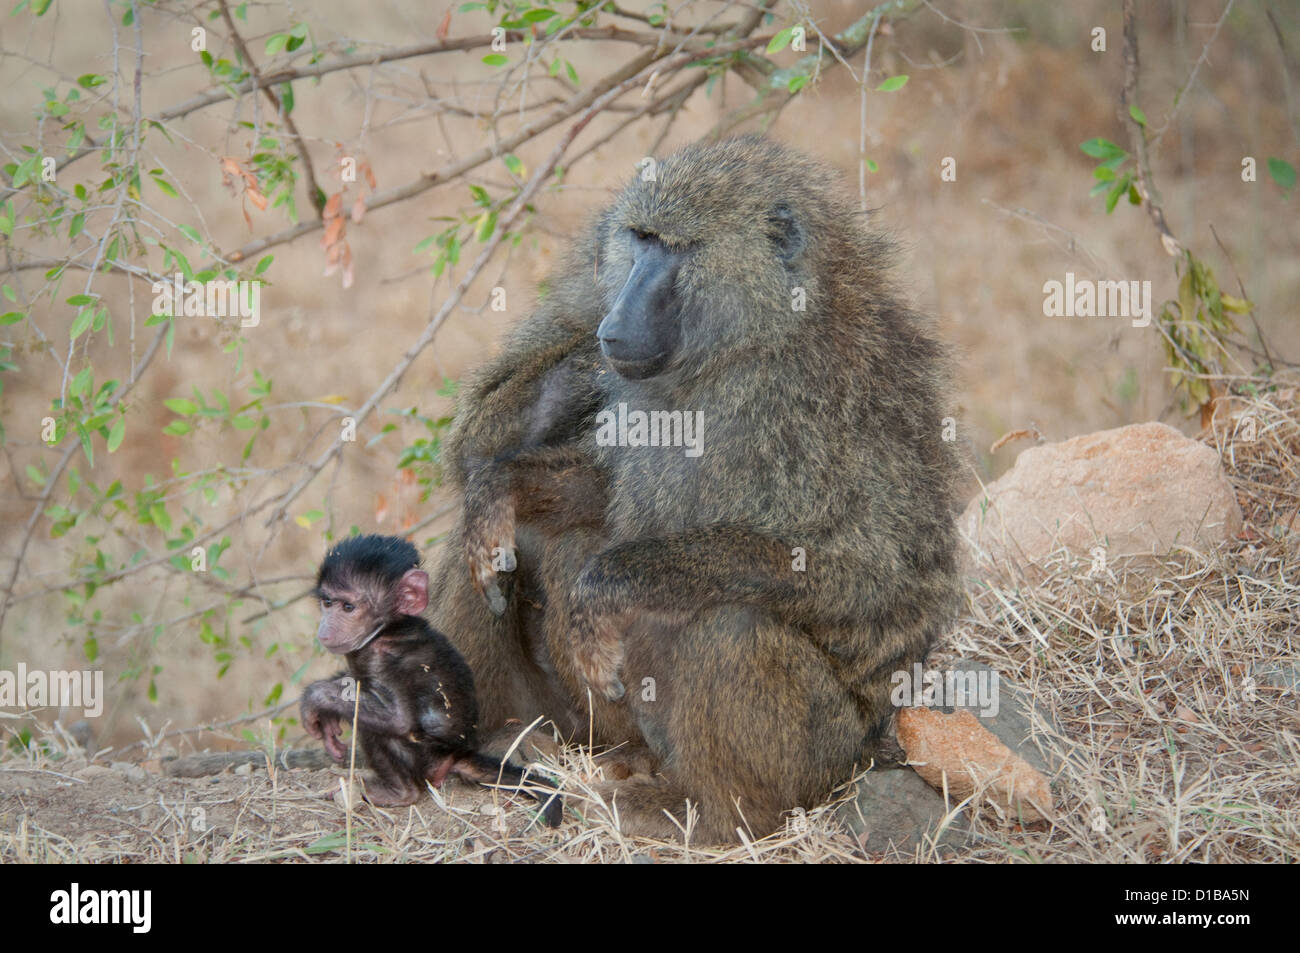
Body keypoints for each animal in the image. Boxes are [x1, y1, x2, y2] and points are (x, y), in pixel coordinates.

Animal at [300, 533, 563, 827]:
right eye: (327, 603)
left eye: (348, 607)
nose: (325, 629)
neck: (390, 629)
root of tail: (456, 754)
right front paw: (327, 721)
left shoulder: (387, 659)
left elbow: (398, 719)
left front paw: (316, 699)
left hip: (428, 761)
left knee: (378, 729)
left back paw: (401, 792)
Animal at [429, 136, 963, 843]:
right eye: (640, 239)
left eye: (677, 249)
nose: (614, 321)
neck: (751, 336)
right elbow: (559, 487)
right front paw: (503, 484)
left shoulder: (797, 395)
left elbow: (871, 579)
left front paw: (608, 585)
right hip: (599, 729)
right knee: (505, 546)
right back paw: (485, 742)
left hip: (821, 755)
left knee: (732, 623)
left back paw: (709, 816)